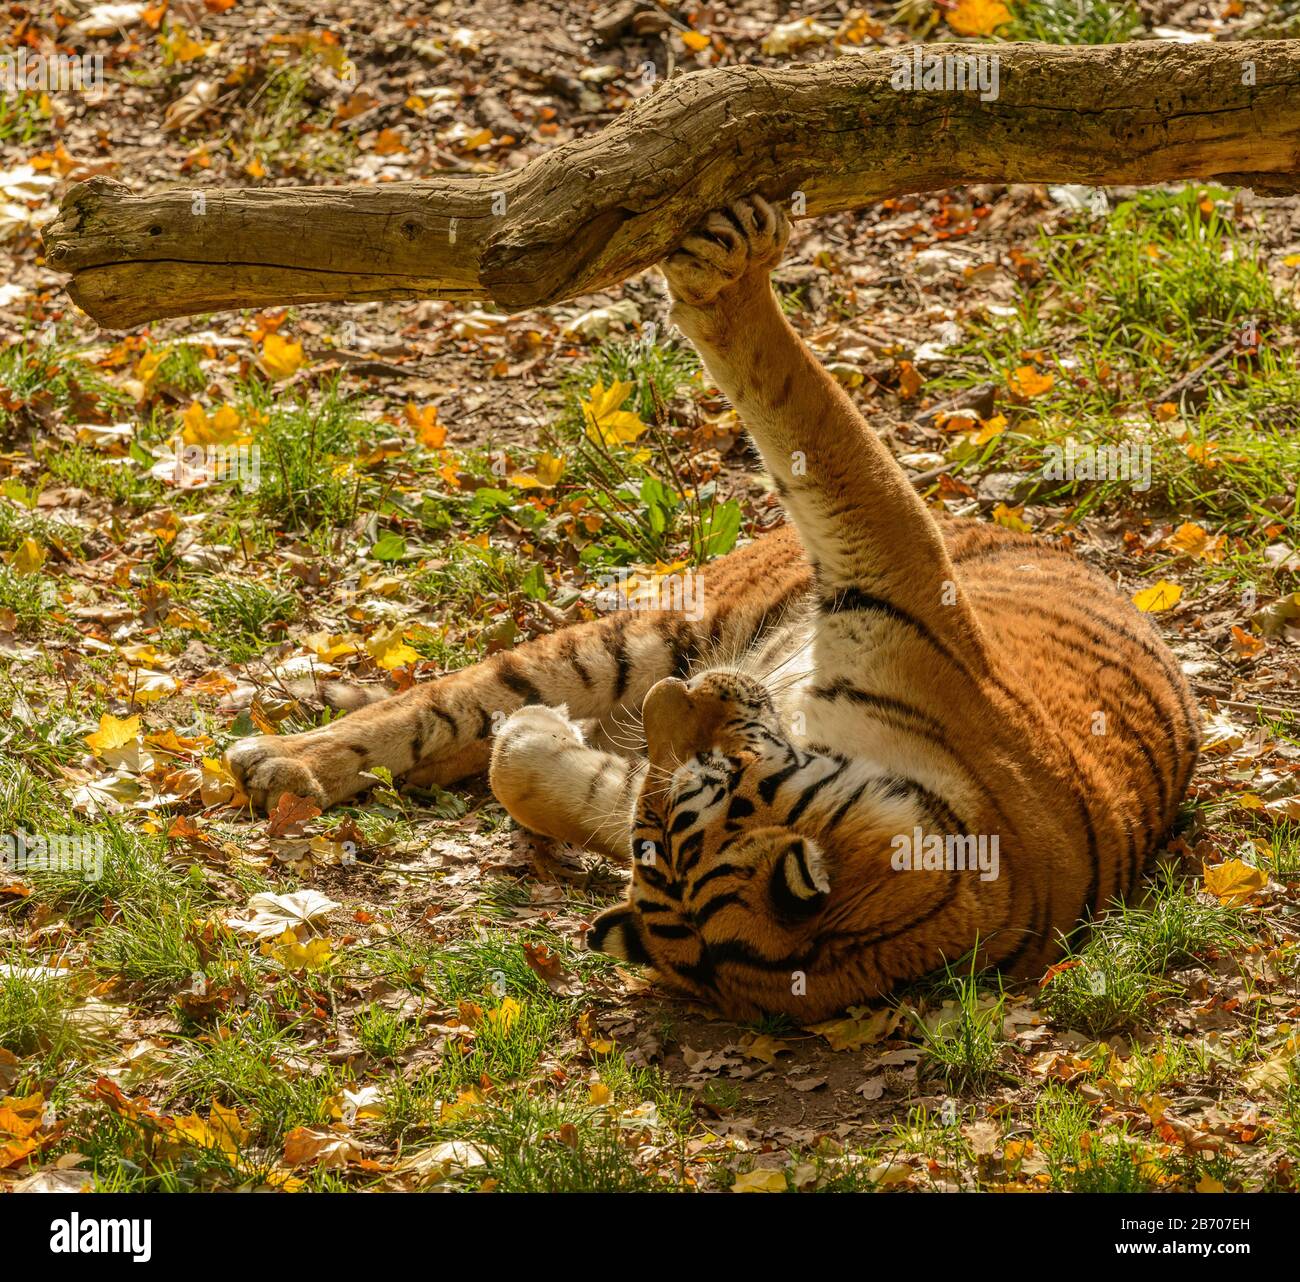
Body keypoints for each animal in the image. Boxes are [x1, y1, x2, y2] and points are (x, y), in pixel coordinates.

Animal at [226, 194, 1200, 1021]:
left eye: (709, 781)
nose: (695, 692)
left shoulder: (892, 585)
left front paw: (539, 742)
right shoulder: (888, 571)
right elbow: (812, 414)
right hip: (651, 634)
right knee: (444, 701)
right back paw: (283, 758)